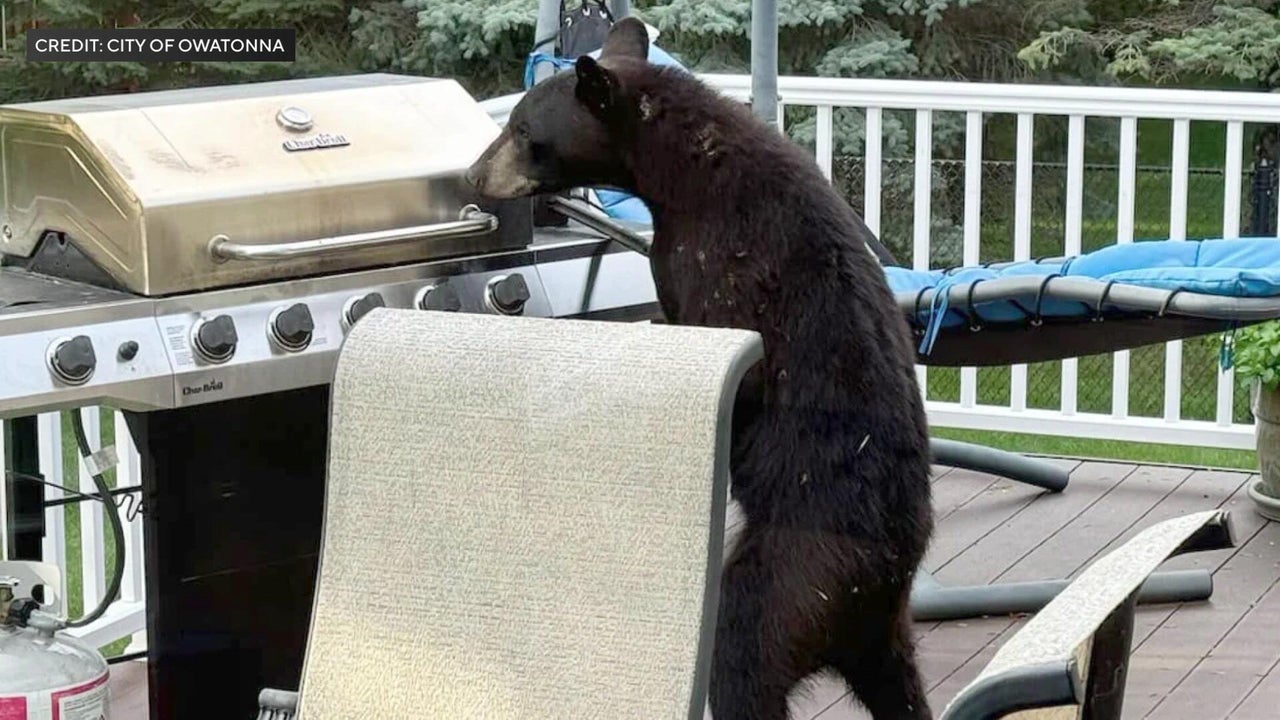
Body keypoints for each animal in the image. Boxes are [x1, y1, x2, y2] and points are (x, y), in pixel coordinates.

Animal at [466, 18, 934, 720]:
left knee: (742, 654)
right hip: (882, 629)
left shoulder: (723, 259)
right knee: (899, 686)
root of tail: (881, 582)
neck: (681, 171)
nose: (473, 174)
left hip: (798, 573)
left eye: (523, 131)